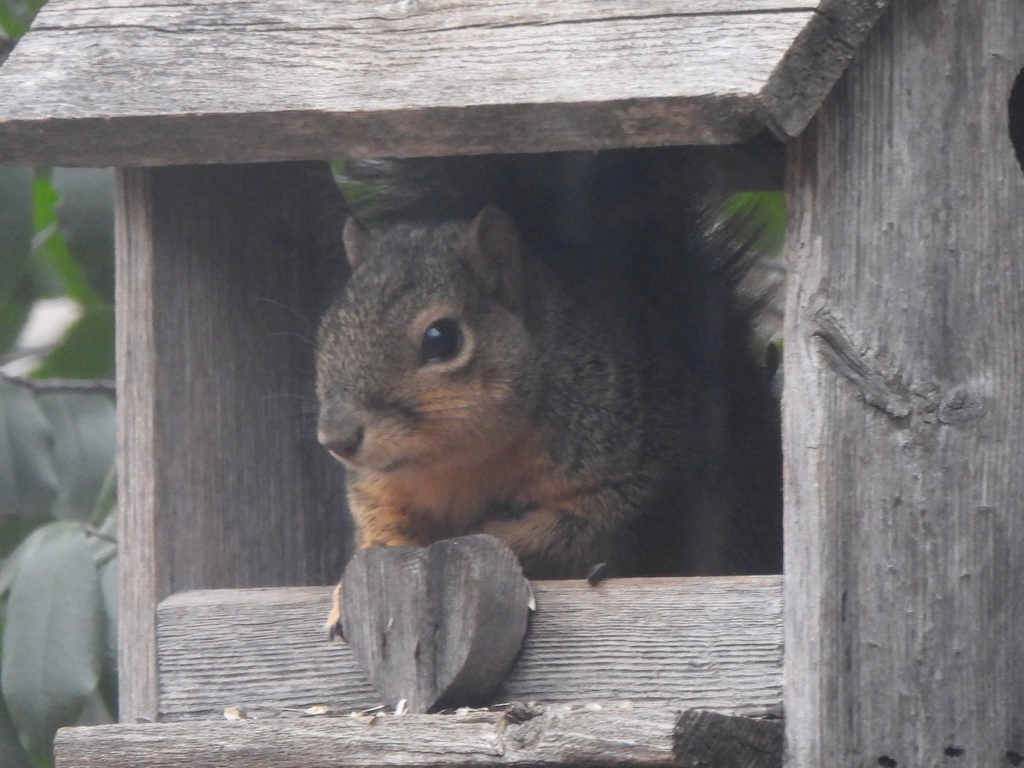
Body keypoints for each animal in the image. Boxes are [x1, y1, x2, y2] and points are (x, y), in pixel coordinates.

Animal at [315, 148, 782, 588]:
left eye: (441, 338)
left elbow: (570, 531)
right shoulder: (380, 490)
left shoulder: (626, 473)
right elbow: (381, 528)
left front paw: (490, 533)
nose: (337, 439)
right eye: (327, 329)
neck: (466, 461)